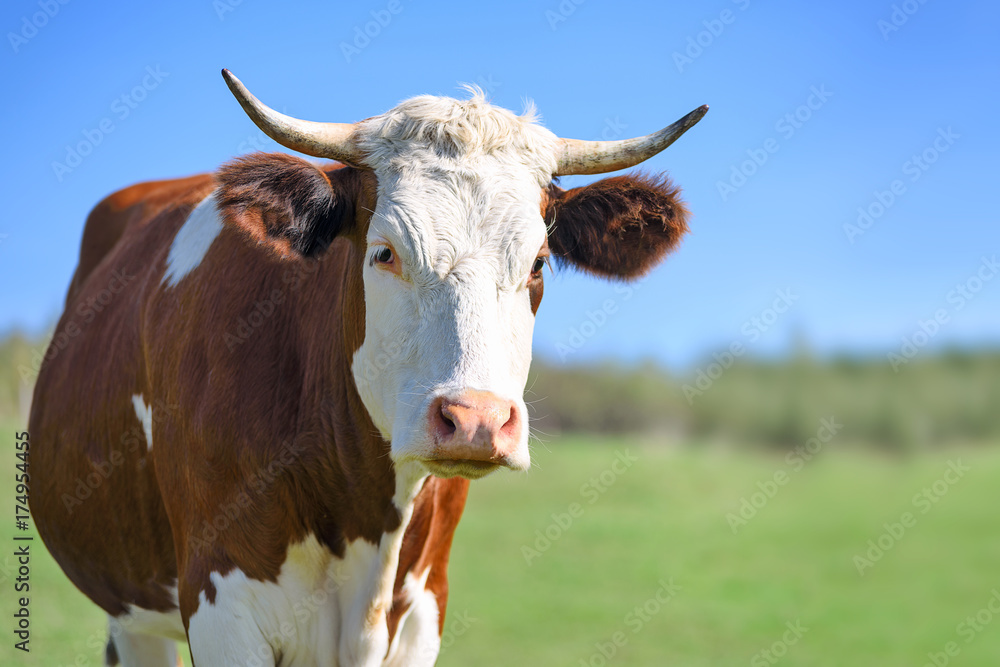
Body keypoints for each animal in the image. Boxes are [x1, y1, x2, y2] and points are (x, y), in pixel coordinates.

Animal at [29, 69, 705, 667]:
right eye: (384, 253)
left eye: (538, 262)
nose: (477, 421)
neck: (360, 510)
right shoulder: (222, 609)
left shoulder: (424, 613)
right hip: (131, 610)